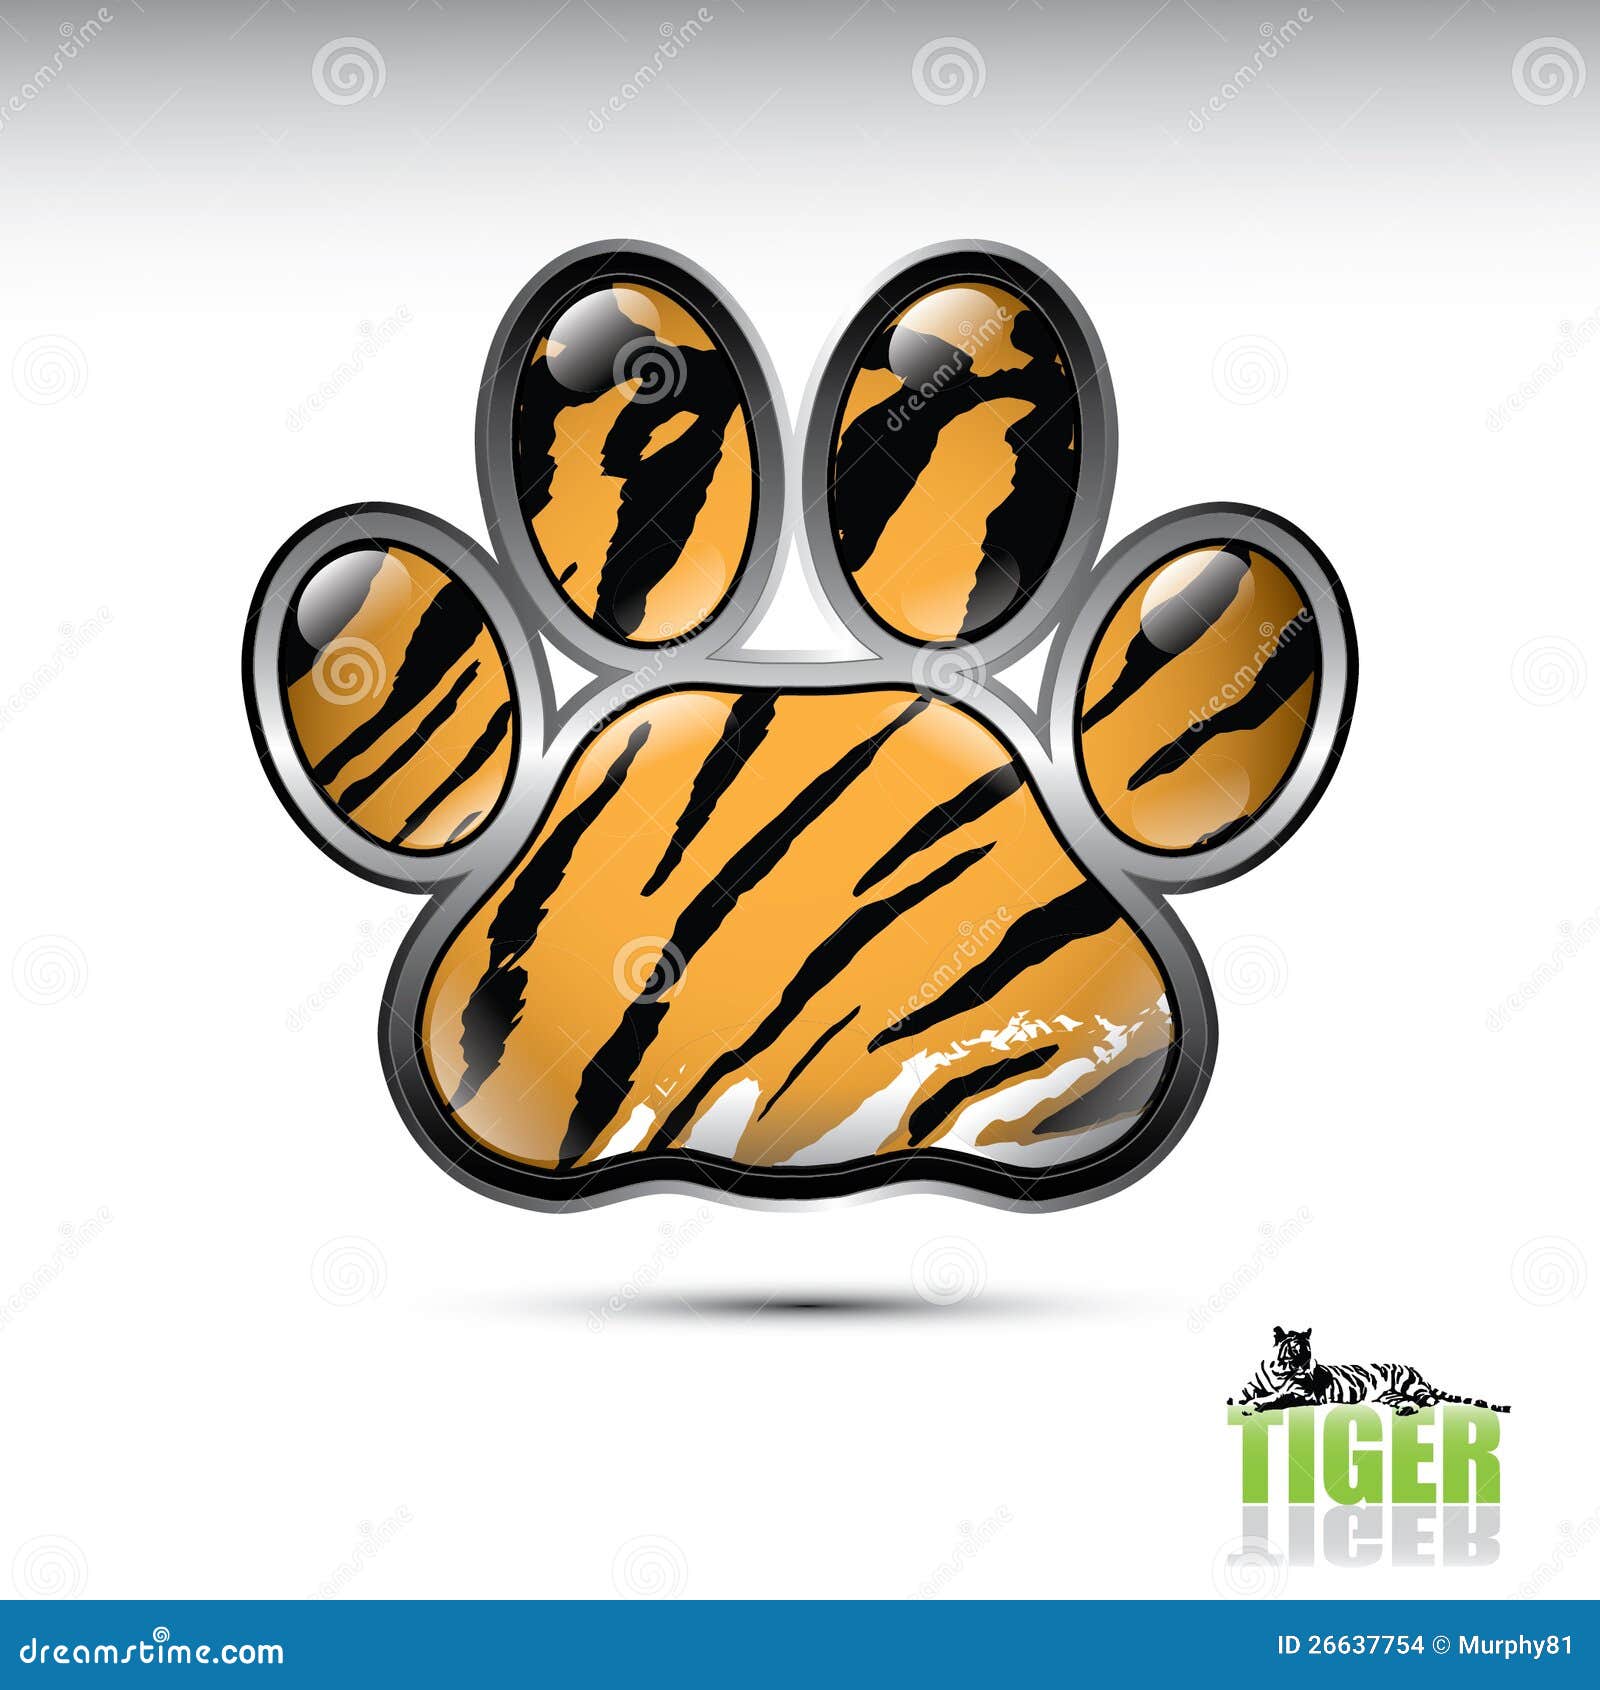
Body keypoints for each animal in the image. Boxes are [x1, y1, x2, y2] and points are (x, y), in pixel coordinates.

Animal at [1229, 1327, 1511, 1416]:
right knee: (1414, 1402)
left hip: (1409, 1385)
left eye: (1309, 1352)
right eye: (1299, 1351)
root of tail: (1420, 1374)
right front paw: (1237, 1400)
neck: (1280, 1372)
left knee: (1431, 1400)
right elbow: (1244, 1392)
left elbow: (1276, 1397)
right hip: (1391, 1395)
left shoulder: (1303, 1395)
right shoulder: (1254, 1384)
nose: (1310, 1367)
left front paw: (1254, 1406)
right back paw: (1405, 1410)